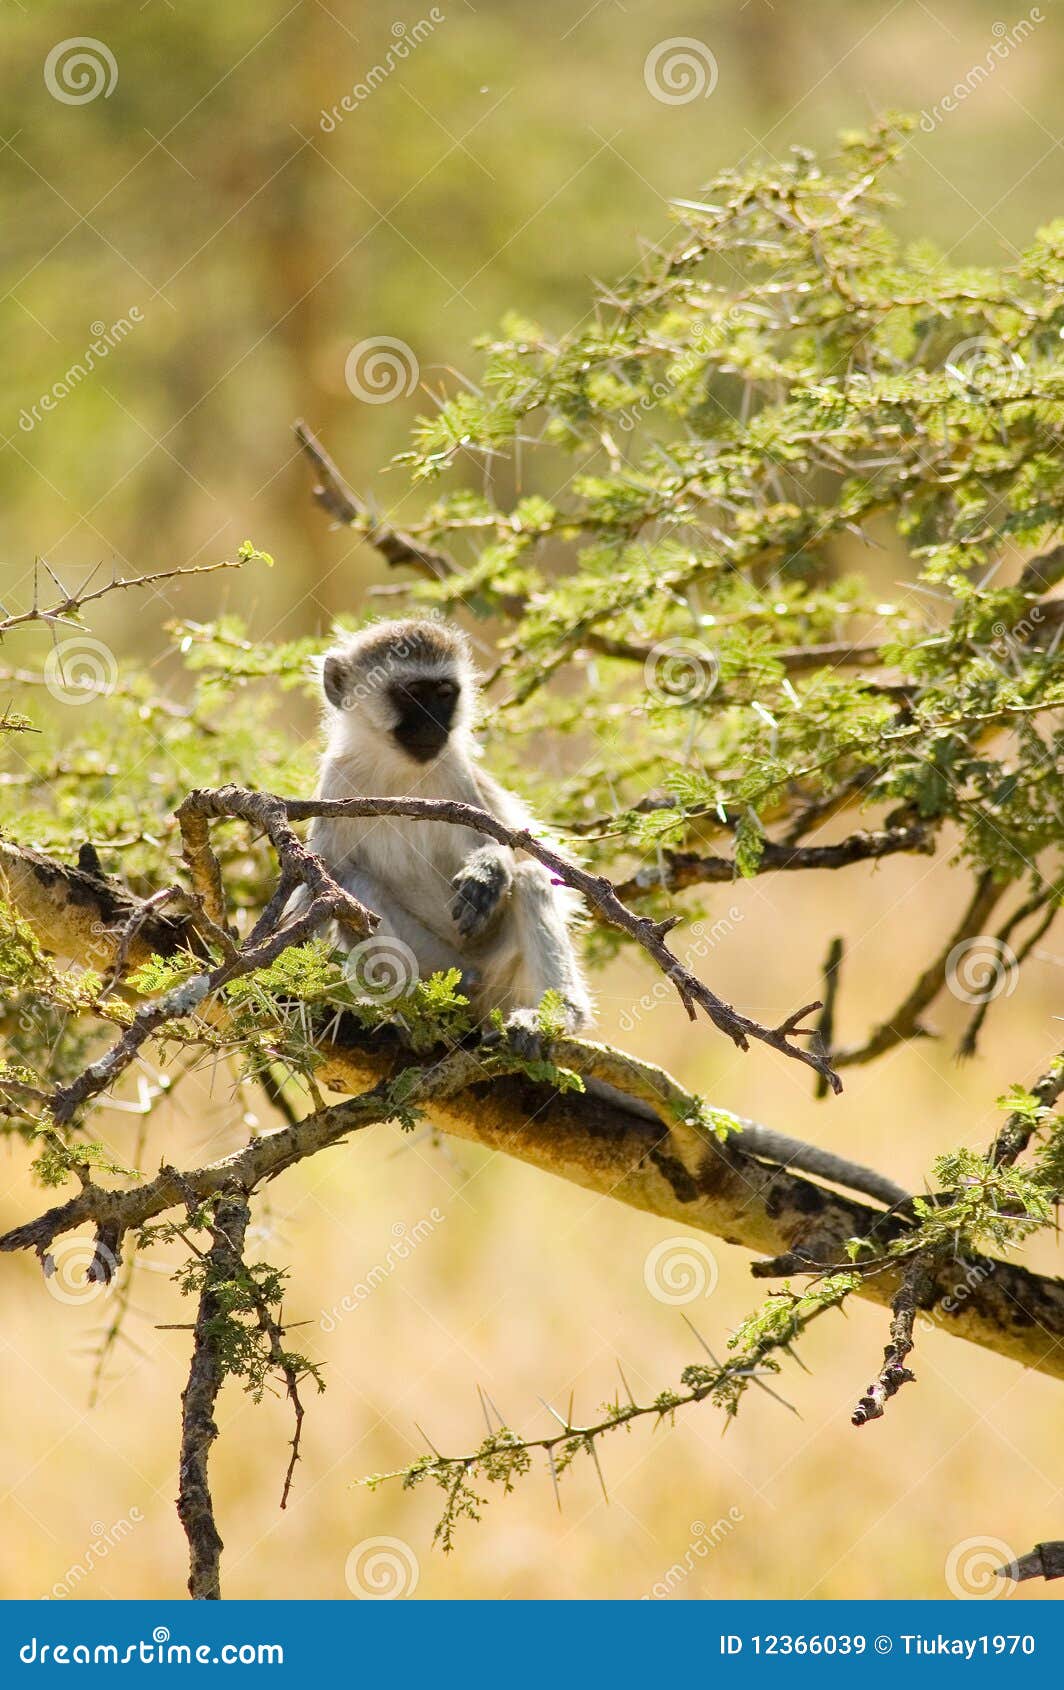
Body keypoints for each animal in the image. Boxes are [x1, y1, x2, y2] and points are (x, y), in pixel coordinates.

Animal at [302, 617, 908, 1210]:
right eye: (410, 694)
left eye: (444, 693)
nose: (434, 725)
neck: (398, 772)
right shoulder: (334, 792)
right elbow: (316, 890)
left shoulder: (463, 781)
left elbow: (537, 861)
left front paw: (489, 868)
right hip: (441, 965)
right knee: (355, 887)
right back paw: (414, 1012)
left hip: (500, 972)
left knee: (528, 887)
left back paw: (553, 1015)